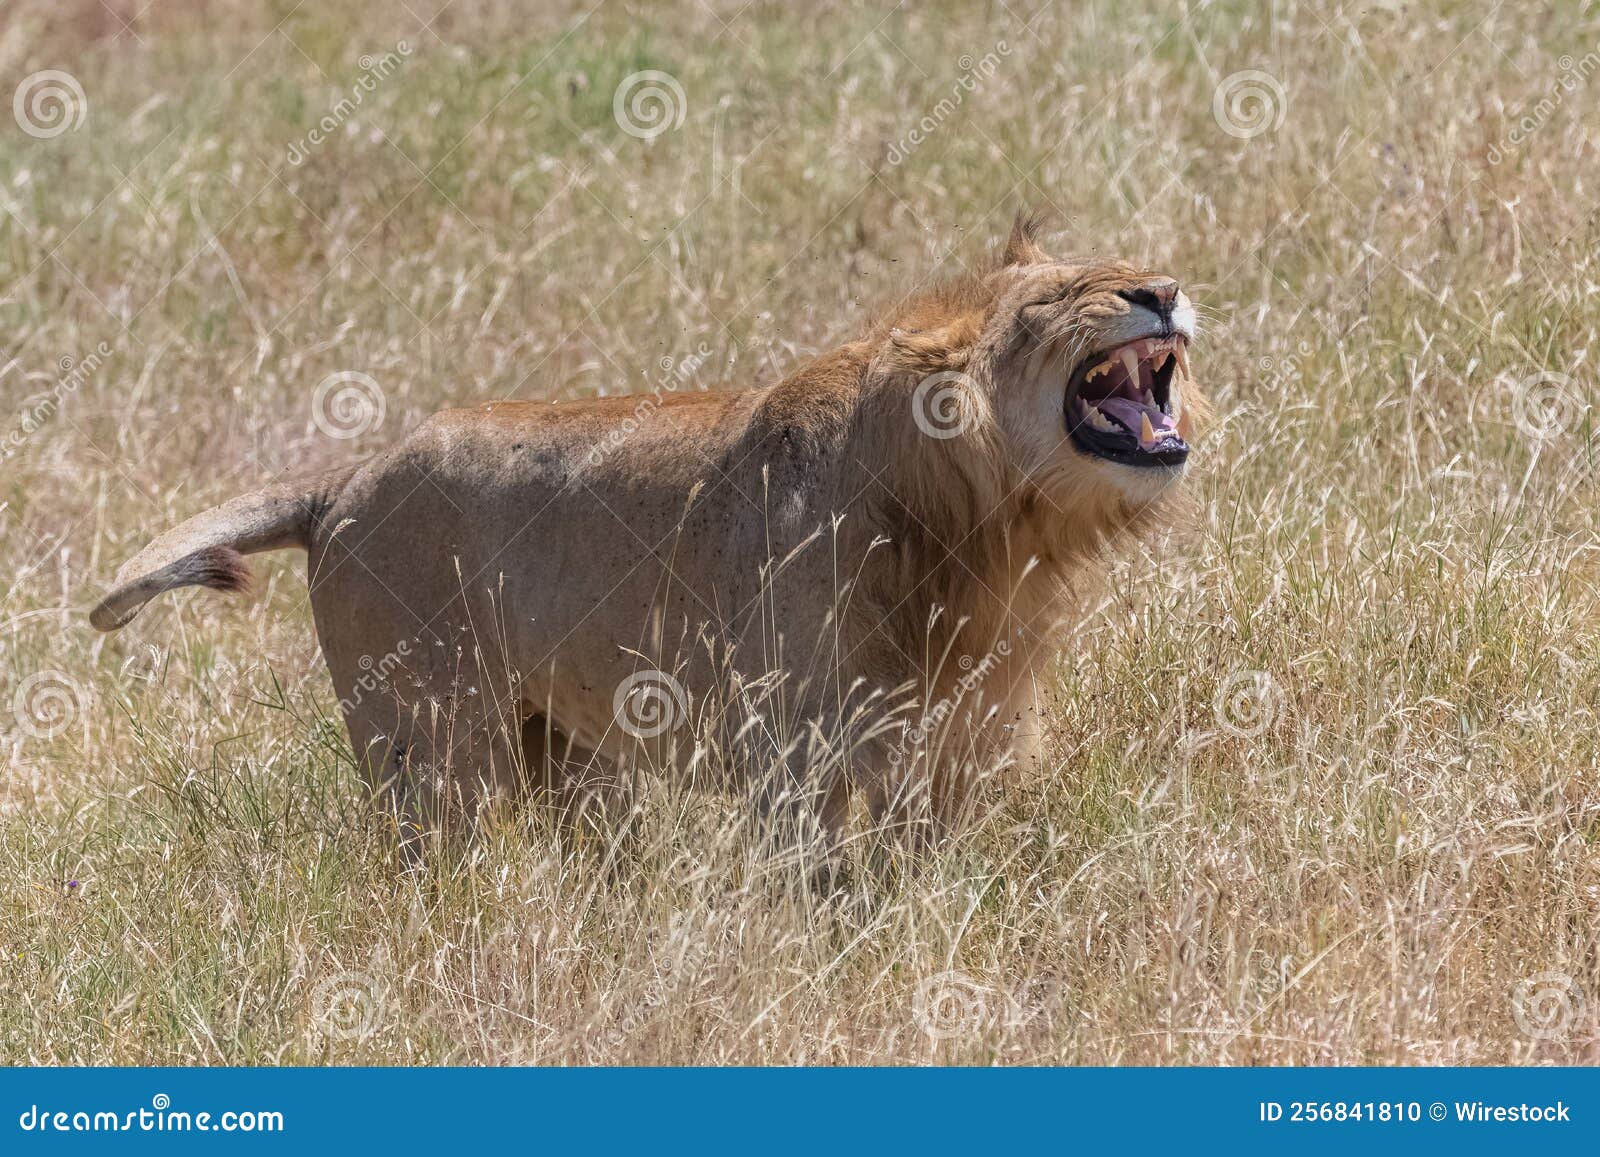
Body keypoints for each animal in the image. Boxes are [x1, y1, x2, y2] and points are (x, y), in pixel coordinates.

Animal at [91, 216, 1202, 852]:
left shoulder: (965, 741)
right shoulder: (789, 752)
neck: (995, 530)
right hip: (435, 755)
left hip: (572, 759)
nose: (1161, 289)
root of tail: (343, 480)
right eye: (1061, 296)